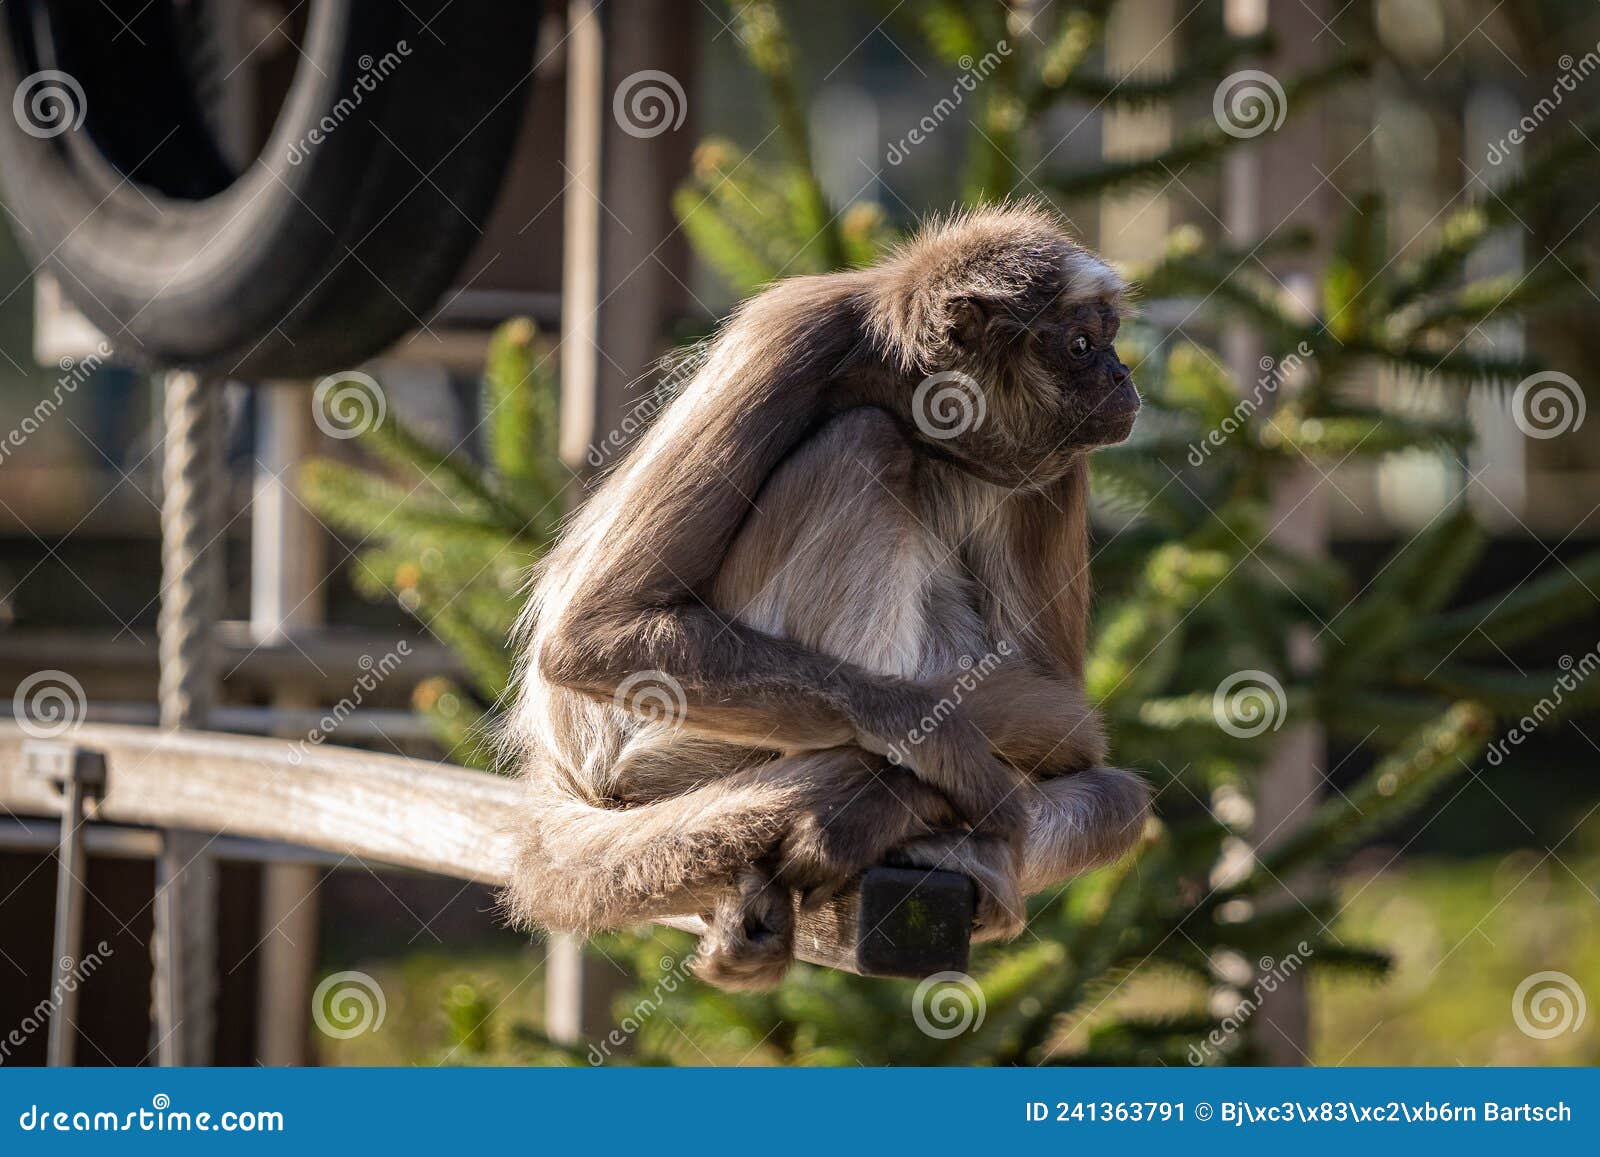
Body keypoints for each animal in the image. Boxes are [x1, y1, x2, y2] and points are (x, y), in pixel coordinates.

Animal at [502, 201, 1150, 990]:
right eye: (1082, 345)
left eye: (1105, 341)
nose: (1122, 375)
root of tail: (561, 756)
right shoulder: (796, 335)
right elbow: (594, 635)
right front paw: (927, 749)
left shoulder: (1057, 458)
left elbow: (1061, 719)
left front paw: (892, 809)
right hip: (666, 748)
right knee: (866, 439)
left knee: (1111, 798)